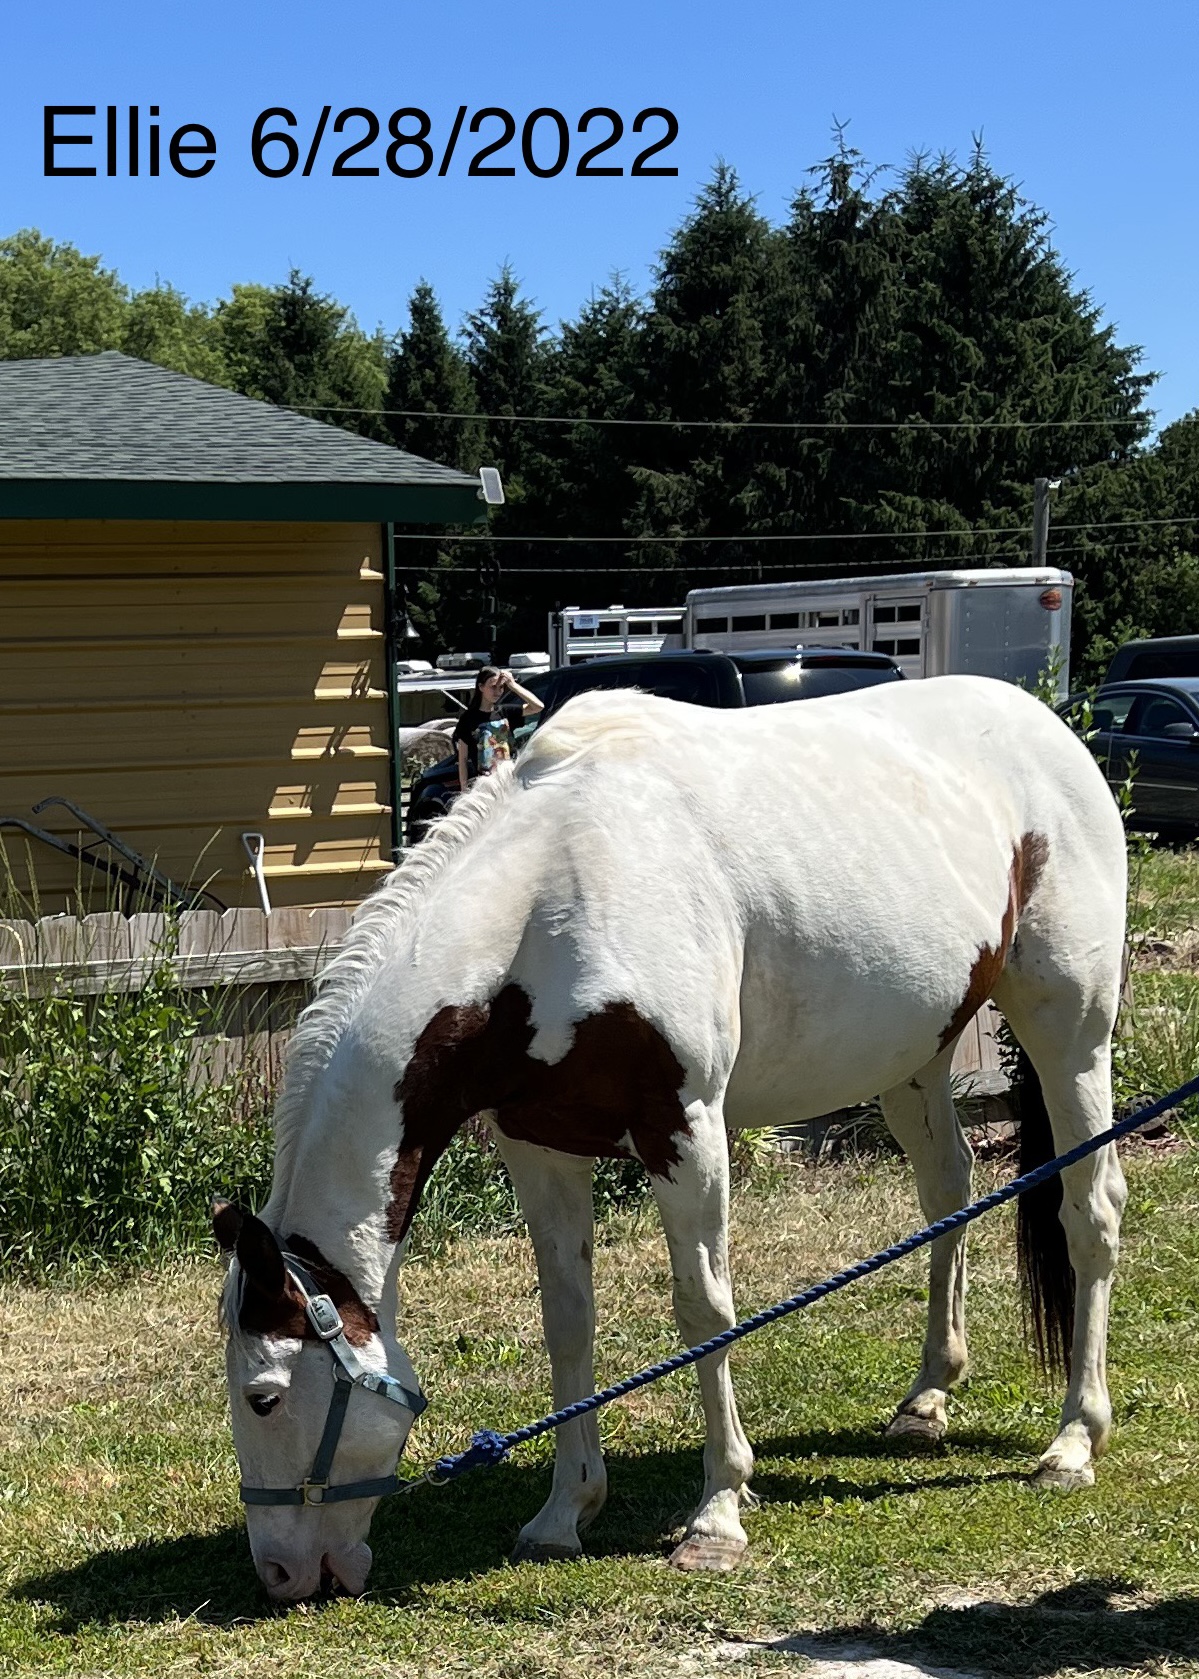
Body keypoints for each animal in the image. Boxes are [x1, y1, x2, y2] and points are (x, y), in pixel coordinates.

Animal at [213, 675, 1128, 1602]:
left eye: (262, 1395)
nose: (282, 1572)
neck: (545, 903)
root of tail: (1047, 723)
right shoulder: (540, 1149)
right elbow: (567, 1319)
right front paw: (564, 1510)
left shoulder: (684, 1132)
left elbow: (704, 1310)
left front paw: (717, 1516)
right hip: (917, 1053)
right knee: (947, 1189)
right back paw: (927, 1397)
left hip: (1070, 1030)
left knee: (1089, 1213)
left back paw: (1072, 1440)